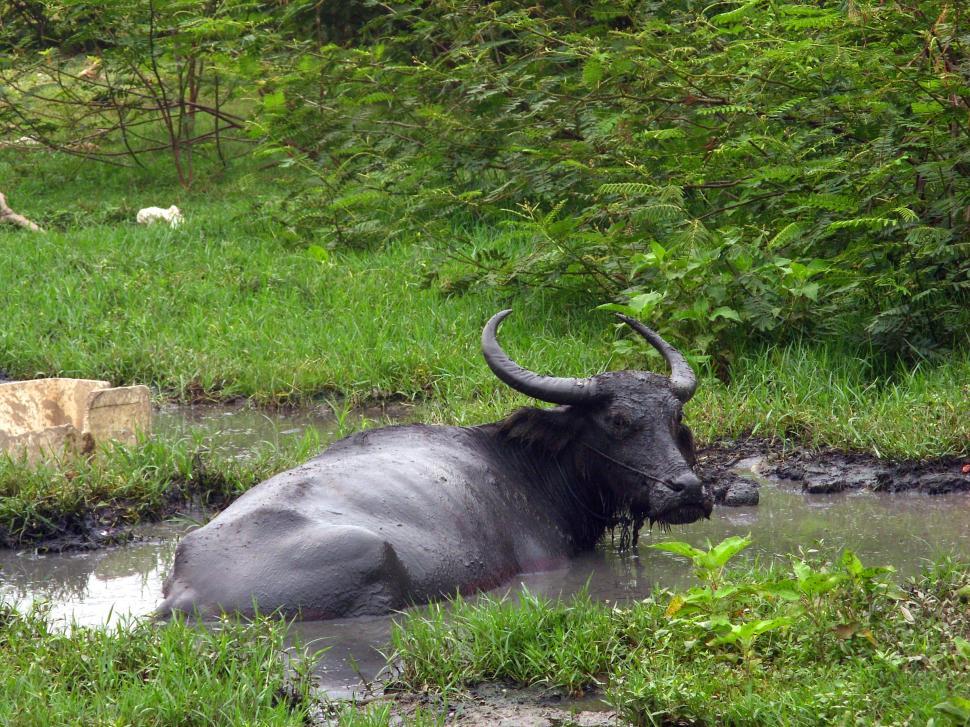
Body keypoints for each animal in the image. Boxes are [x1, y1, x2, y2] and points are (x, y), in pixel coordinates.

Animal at [159, 310, 712, 619]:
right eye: (617, 420)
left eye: (675, 416)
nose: (687, 489)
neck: (531, 470)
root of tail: (185, 588)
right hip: (371, 558)